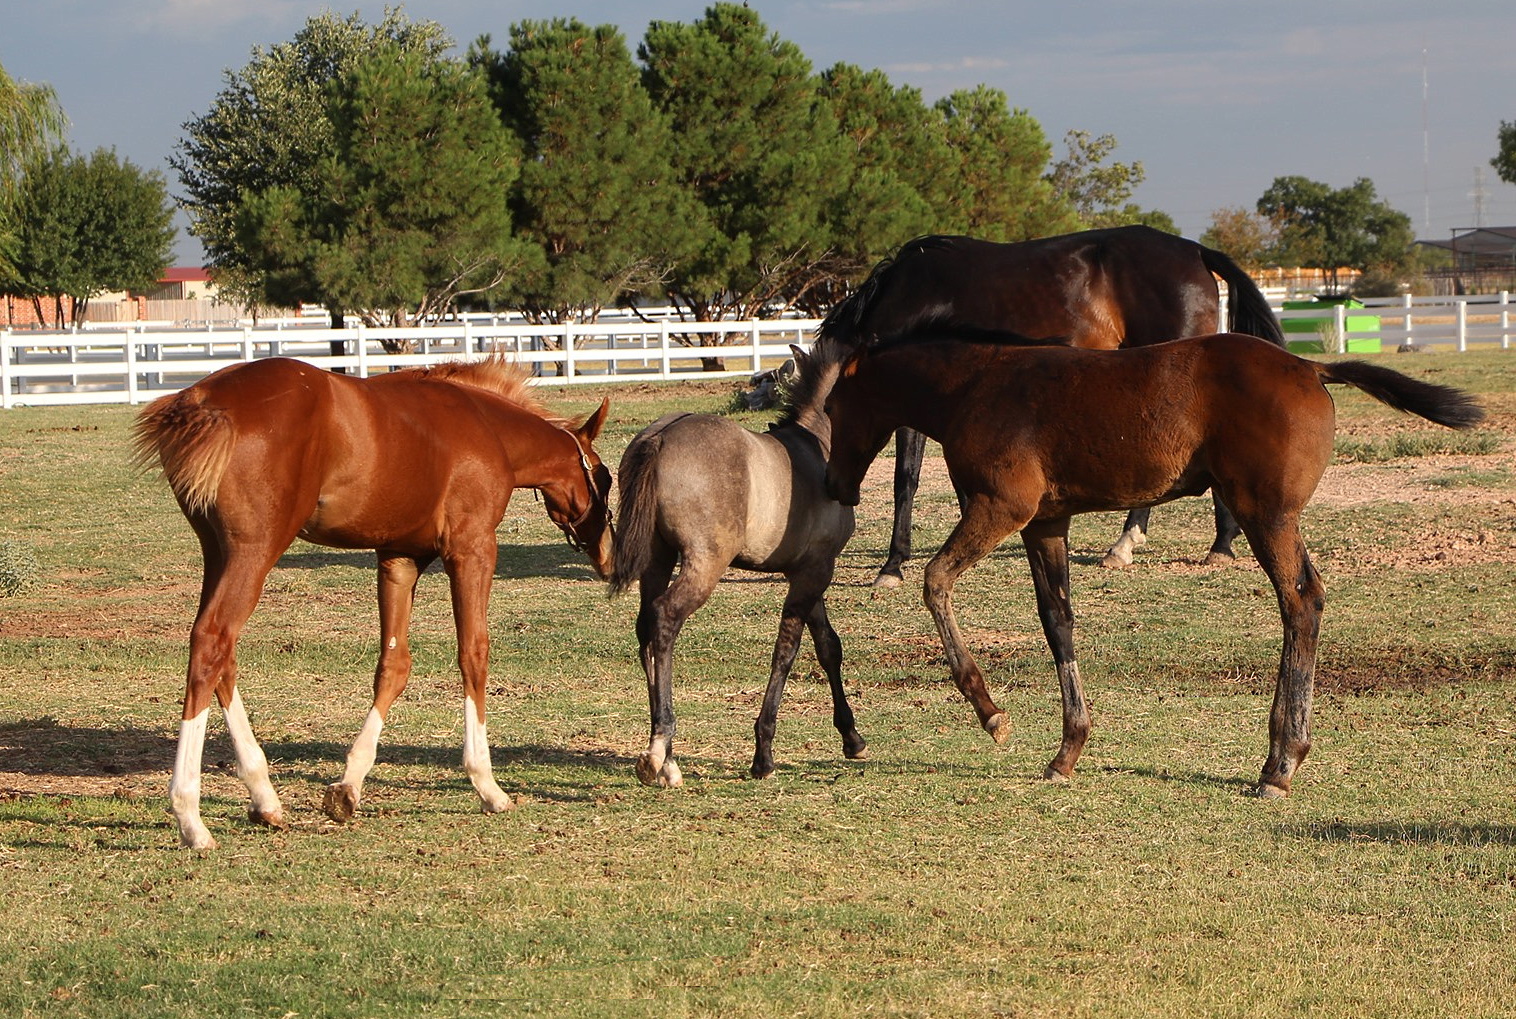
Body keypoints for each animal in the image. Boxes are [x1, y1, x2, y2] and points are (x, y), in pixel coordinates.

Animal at [133, 356, 615, 849]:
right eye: (606, 477)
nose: (607, 554)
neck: (486, 427)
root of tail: (199, 400)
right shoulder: (473, 548)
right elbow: (473, 654)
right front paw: (487, 785)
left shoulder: (399, 558)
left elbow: (394, 666)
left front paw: (349, 785)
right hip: (254, 551)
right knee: (212, 642)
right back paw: (190, 816)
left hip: (218, 553)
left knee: (221, 655)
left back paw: (264, 798)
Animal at [609, 344, 867, 786]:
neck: (818, 445)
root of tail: (659, 437)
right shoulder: (816, 571)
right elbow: (787, 651)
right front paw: (763, 754)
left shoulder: (807, 570)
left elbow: (828, 646)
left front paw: (851, 738)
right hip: (705, 563)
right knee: (664, 619)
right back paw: (659, 747)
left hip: (657, 558)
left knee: (645, 629)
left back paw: (668, 761)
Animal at [816, 227, 1288, 586]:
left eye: (833, 411)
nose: (833, 488)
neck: (907, 295)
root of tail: (1195, 250)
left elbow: (906, 479)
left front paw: (892, 566)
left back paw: (1159, 546)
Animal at [820, 329, 1483, 796]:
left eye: (832, 408)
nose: (834, 484)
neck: (975, 385)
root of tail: (1307, 366)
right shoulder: (1045, 523)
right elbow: (1057, 621)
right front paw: (1068, 750)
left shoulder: (999, 507)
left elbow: (934, 581)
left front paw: (992, 714)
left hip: (1265, 514)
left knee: (1301, 600)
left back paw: (1279, 764)